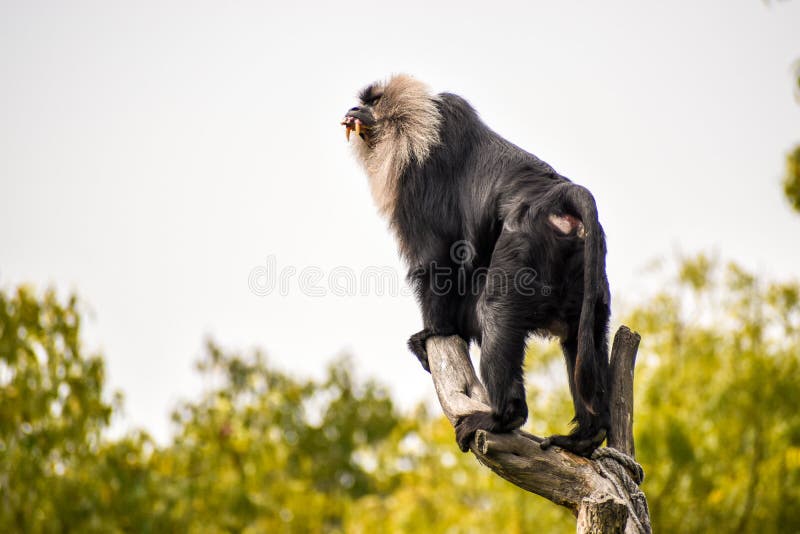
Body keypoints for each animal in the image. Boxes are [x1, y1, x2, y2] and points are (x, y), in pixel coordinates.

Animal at [341, 75, 611, 457]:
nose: (353, 110)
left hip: (524, 247)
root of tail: (562, 196)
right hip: (590, 277)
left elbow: (436, 259)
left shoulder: (418, 171)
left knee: (495, 310)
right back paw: (585, 436)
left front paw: (432, 333)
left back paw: (501, 417)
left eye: (374, 101)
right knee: (581, 336)